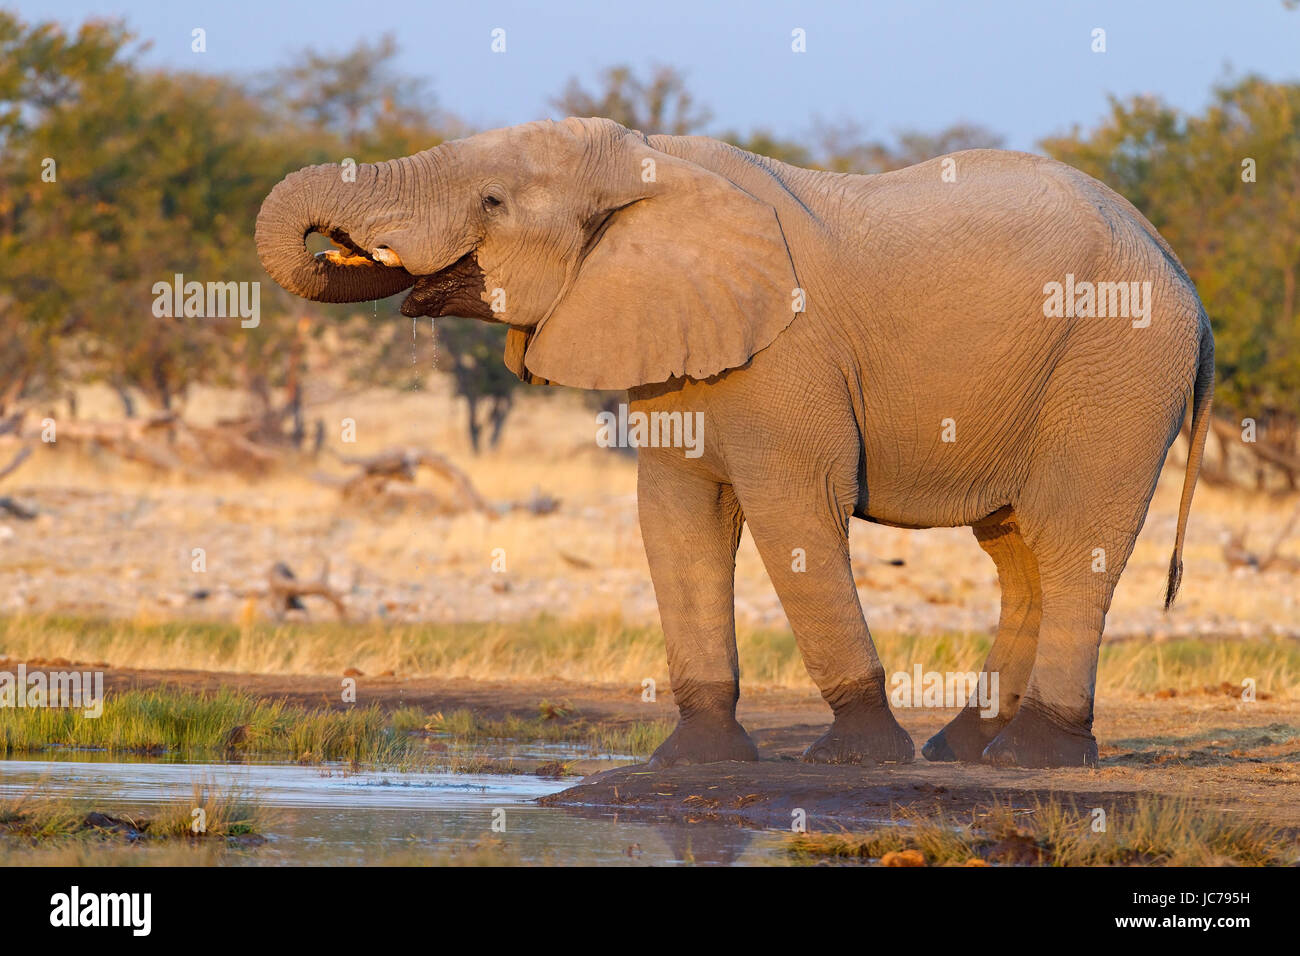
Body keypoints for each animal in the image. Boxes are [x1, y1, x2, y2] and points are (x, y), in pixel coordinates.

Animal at [256, 117, 1214, 769]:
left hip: (1117, 370)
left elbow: (796, 514)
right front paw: (696, 758)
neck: (653, 161)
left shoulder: (787, 355)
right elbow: (675, 516)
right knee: (1018, 553)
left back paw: (1035, 754)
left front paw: (856, 756)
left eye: (493, 202)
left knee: (1074, 542)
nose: (343, 245)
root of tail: (1189, 286)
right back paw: (965, 749)